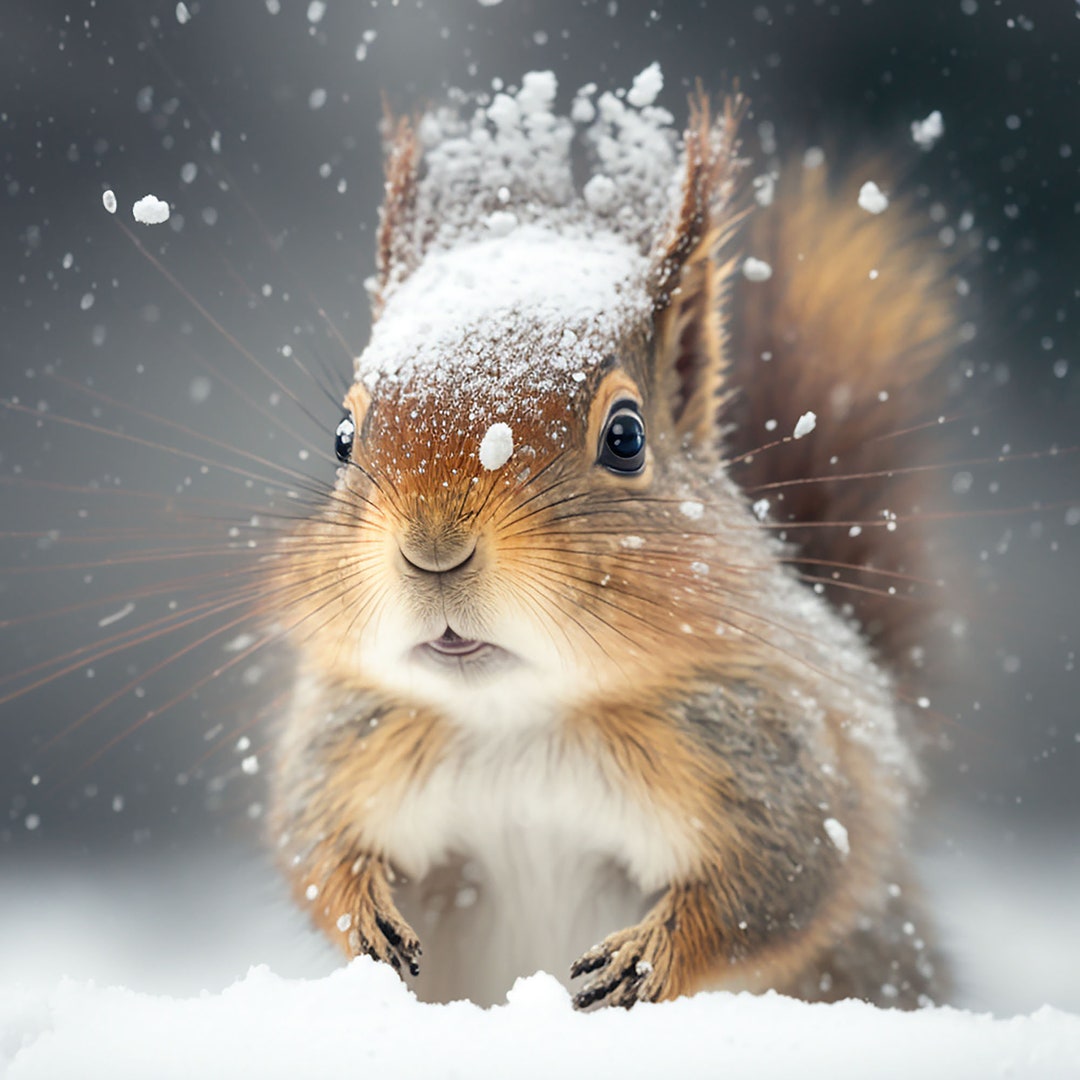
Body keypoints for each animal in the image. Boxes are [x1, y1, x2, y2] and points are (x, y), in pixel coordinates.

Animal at [268, 69, 955, 1010]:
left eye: (626, 437)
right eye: (342, 438)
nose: (432, 551)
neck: (517, 716)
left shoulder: (771, 751)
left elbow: (784, 880)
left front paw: (646, 956)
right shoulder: (351, 739)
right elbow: (313, 842)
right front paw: (359, 908)